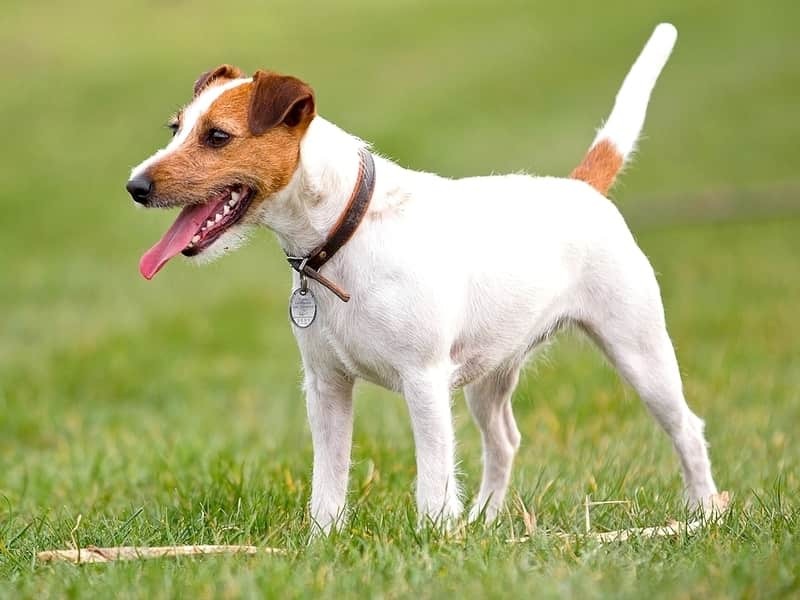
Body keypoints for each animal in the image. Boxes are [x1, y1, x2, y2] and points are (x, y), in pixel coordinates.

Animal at [126, 23, 720, 532]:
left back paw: (704, 513)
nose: (135, 186)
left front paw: (434, 535)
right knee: (504, 440)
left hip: (639, 350)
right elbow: (328, 478)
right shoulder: (326, 386)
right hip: (492, 372)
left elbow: (433, 474)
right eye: (176, 129)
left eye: (217, 137)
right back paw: (483, 521)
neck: (346, 230)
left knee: (687, 427)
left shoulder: (425, 381)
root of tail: (583, 188)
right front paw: (324, 539)